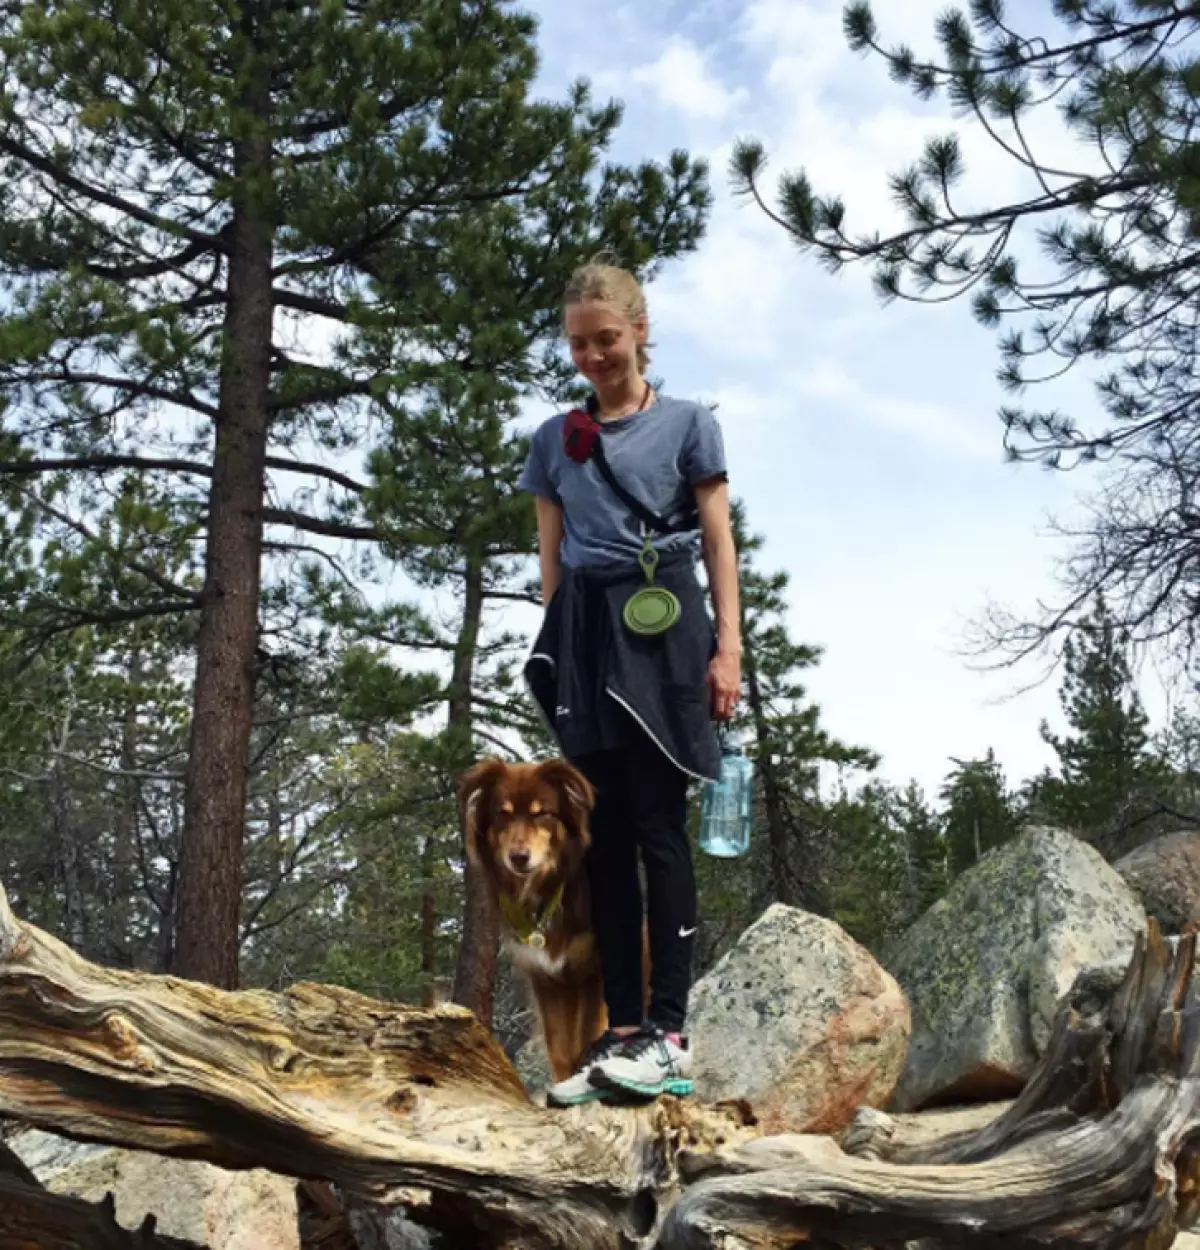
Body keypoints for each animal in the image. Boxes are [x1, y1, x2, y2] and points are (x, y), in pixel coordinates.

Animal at [460, 755, 645, 1080]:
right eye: (502, 814)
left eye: (542, 813)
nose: (519, 857)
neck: (546, 890)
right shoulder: (546, 979)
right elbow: (561, 1053)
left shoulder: (592, 972)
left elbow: (586, 1041)